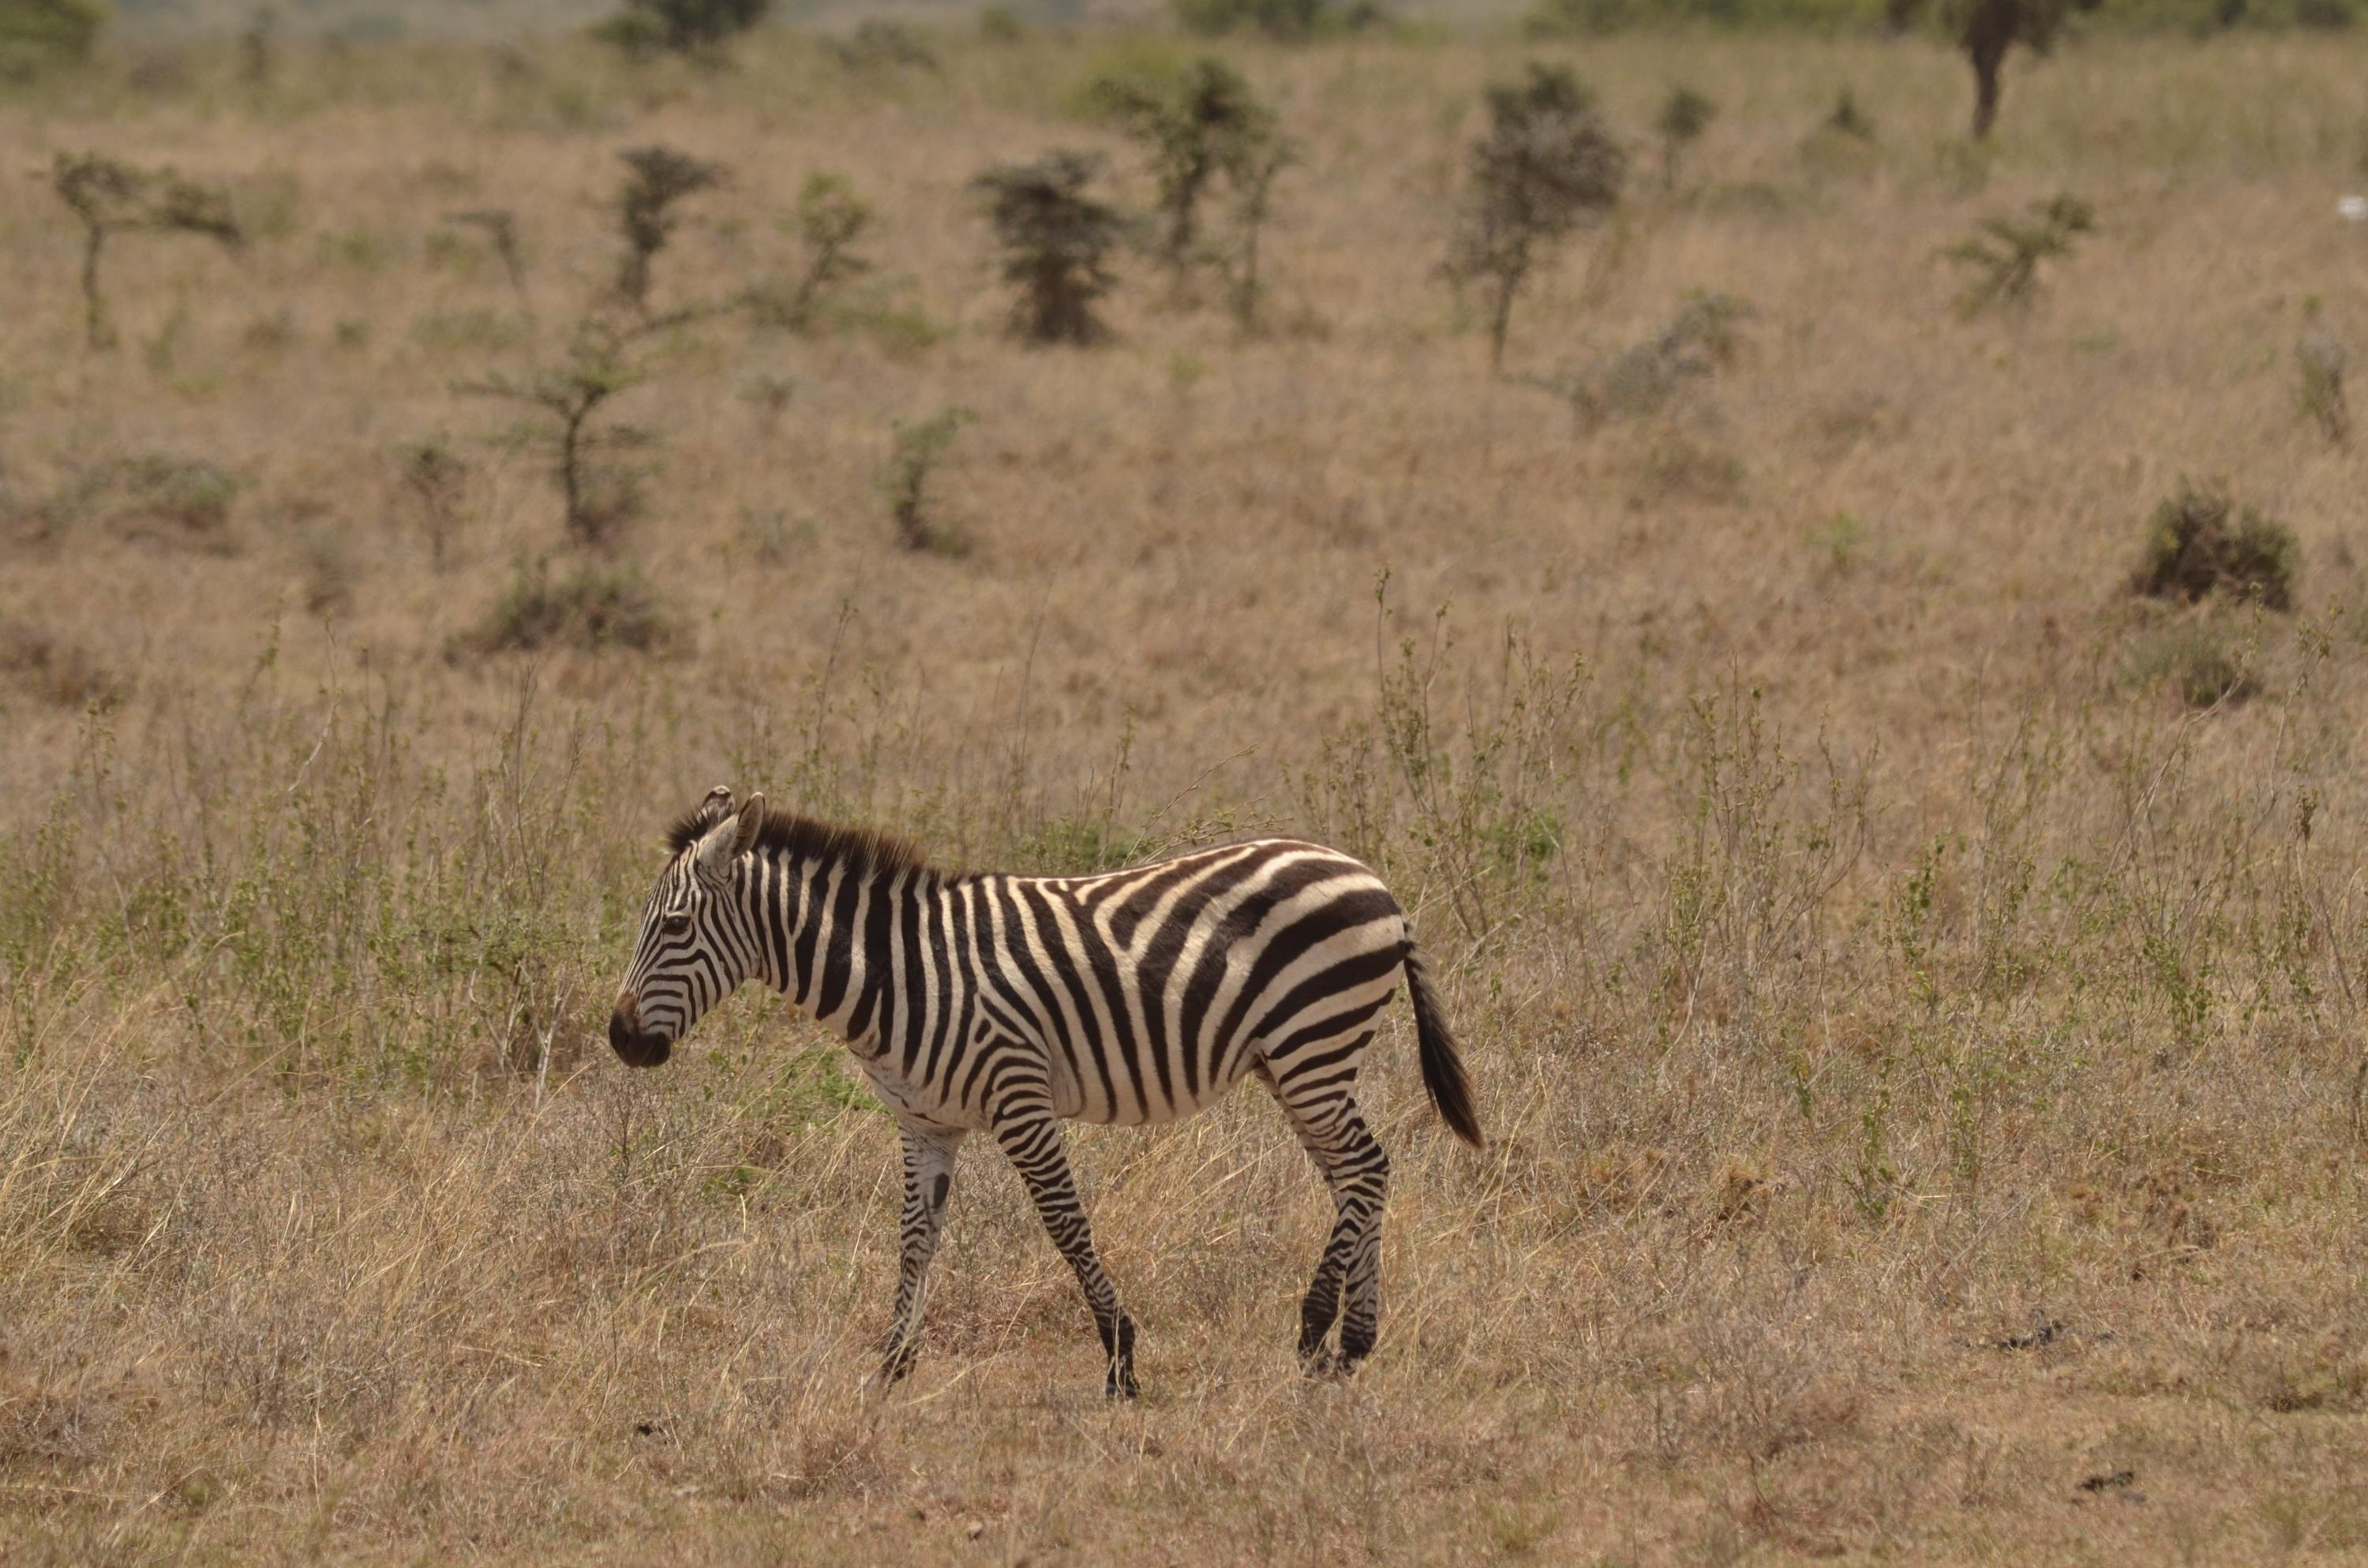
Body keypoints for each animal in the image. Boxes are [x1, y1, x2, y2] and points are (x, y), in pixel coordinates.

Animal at [609, 785, 1482, 1396]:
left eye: (676, 926)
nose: (620, 1037)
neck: (899, 974)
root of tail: (1375, 881)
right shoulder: (925, 1123)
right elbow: (914, 1235)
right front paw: (893, 1364)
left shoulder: (1018, 1097)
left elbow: (1065, 1224)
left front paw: (1121, 1358)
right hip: (1294, 1062)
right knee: (1357, 1175)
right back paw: (1351, 1345)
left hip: (1312, 1044)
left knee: (1363, 1168)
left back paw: (1313, 1331)